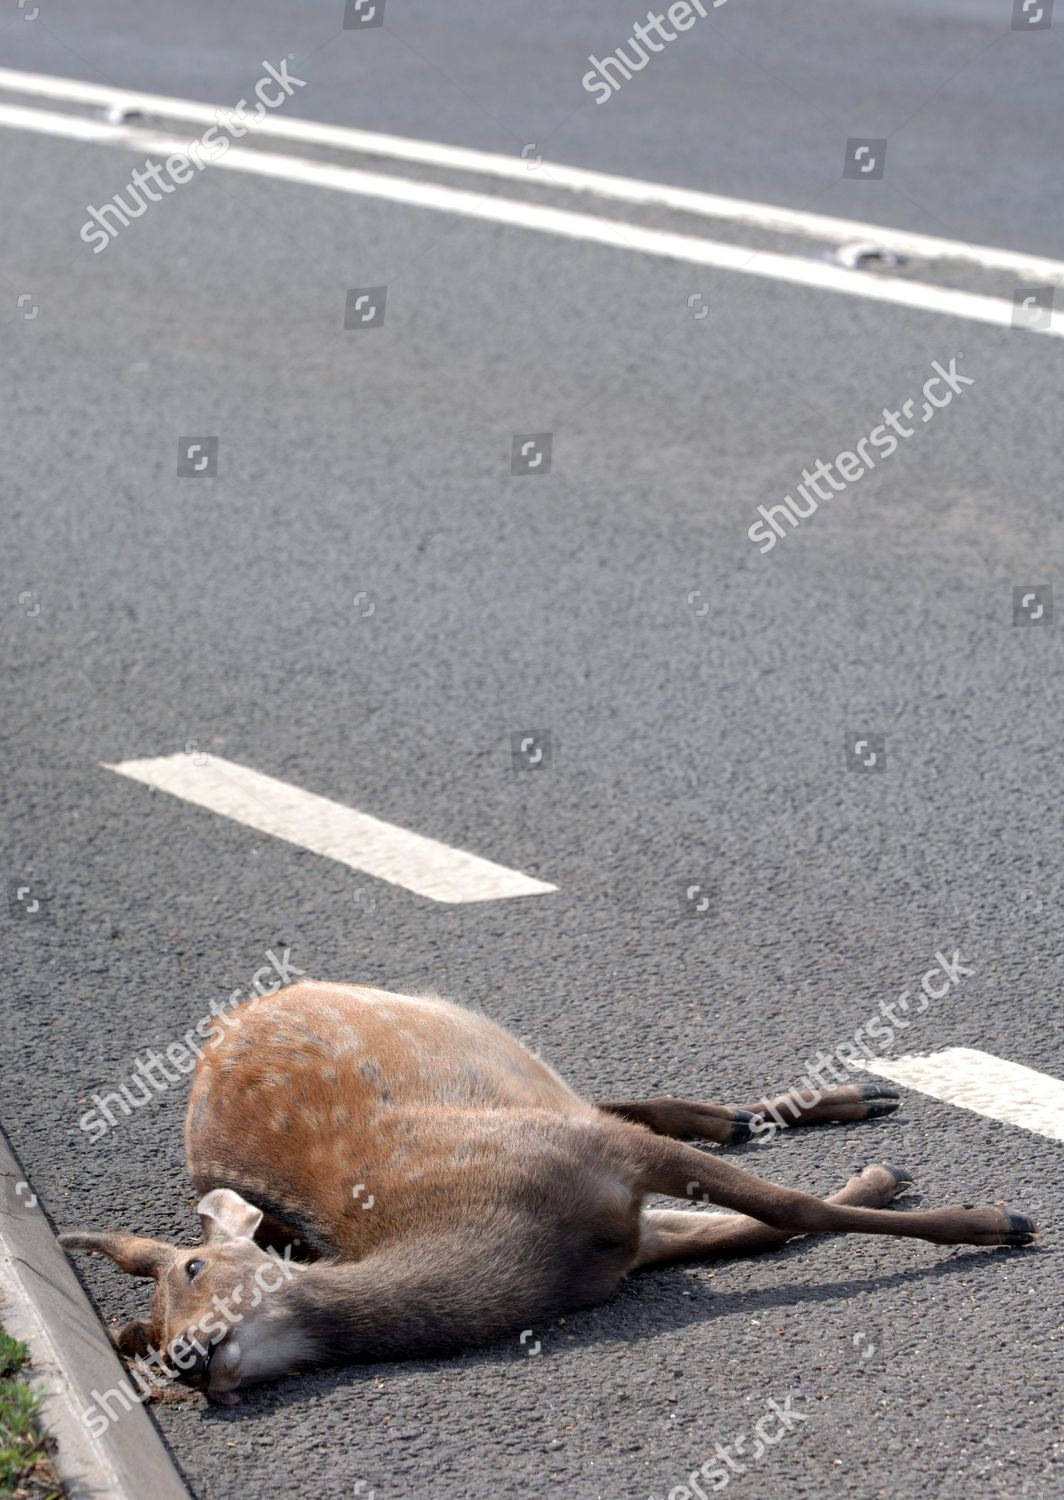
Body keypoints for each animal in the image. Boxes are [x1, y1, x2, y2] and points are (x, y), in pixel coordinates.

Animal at [60, 980, 1037, 1404]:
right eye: (148, 1348)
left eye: (193, 1267)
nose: (189, 1359)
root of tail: (228, 1021)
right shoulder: (629, 1240)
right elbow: (758, 1229)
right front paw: (896, 1185)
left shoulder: (599, 1155)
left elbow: (784, 1208)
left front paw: (994, 1219)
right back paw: (787, 1113)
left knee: (621, 1099)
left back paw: (846, 1100)